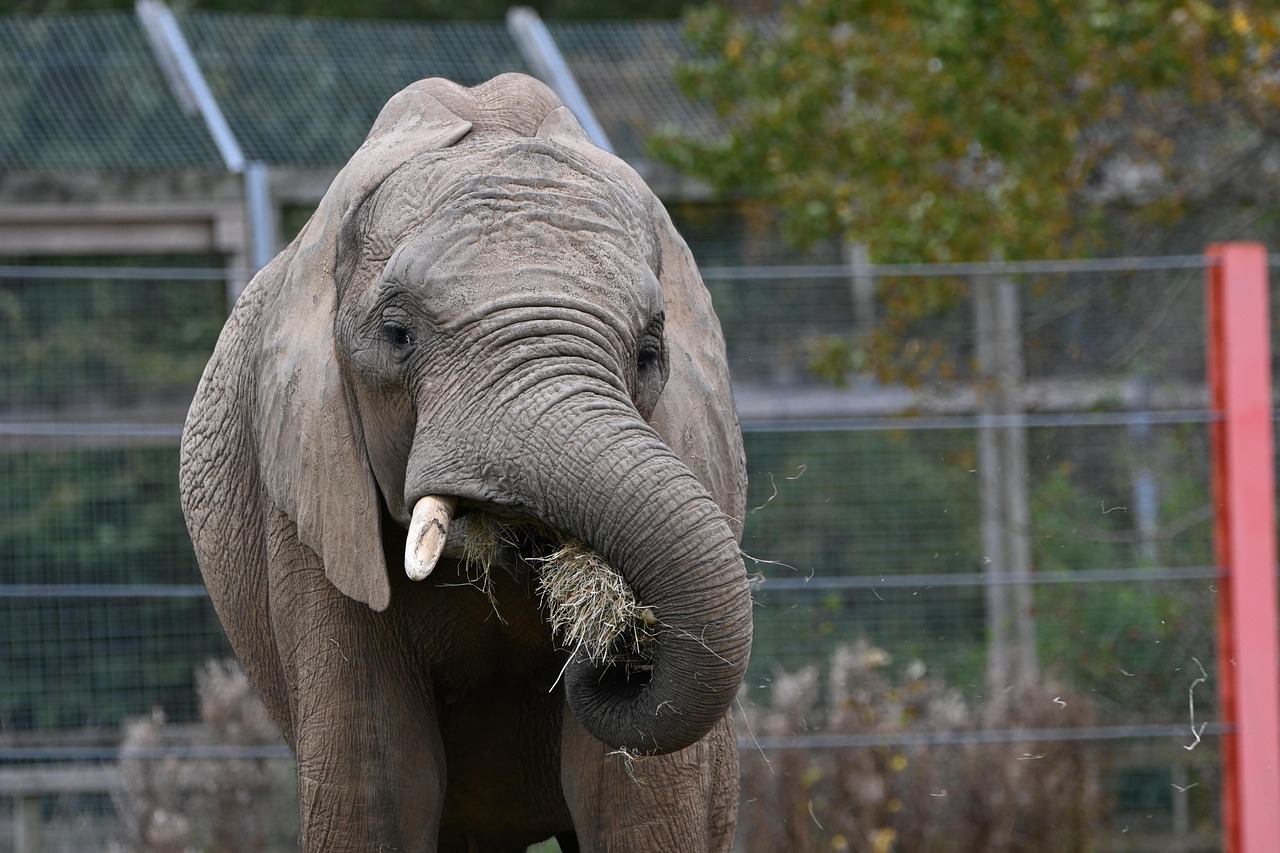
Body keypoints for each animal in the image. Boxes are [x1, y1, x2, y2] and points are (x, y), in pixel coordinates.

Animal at [178, 73, 753, 852]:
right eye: (397, 335)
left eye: (648, 352)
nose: (617, 653)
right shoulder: (307, 500)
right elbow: (379, 786)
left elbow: (631, 801)